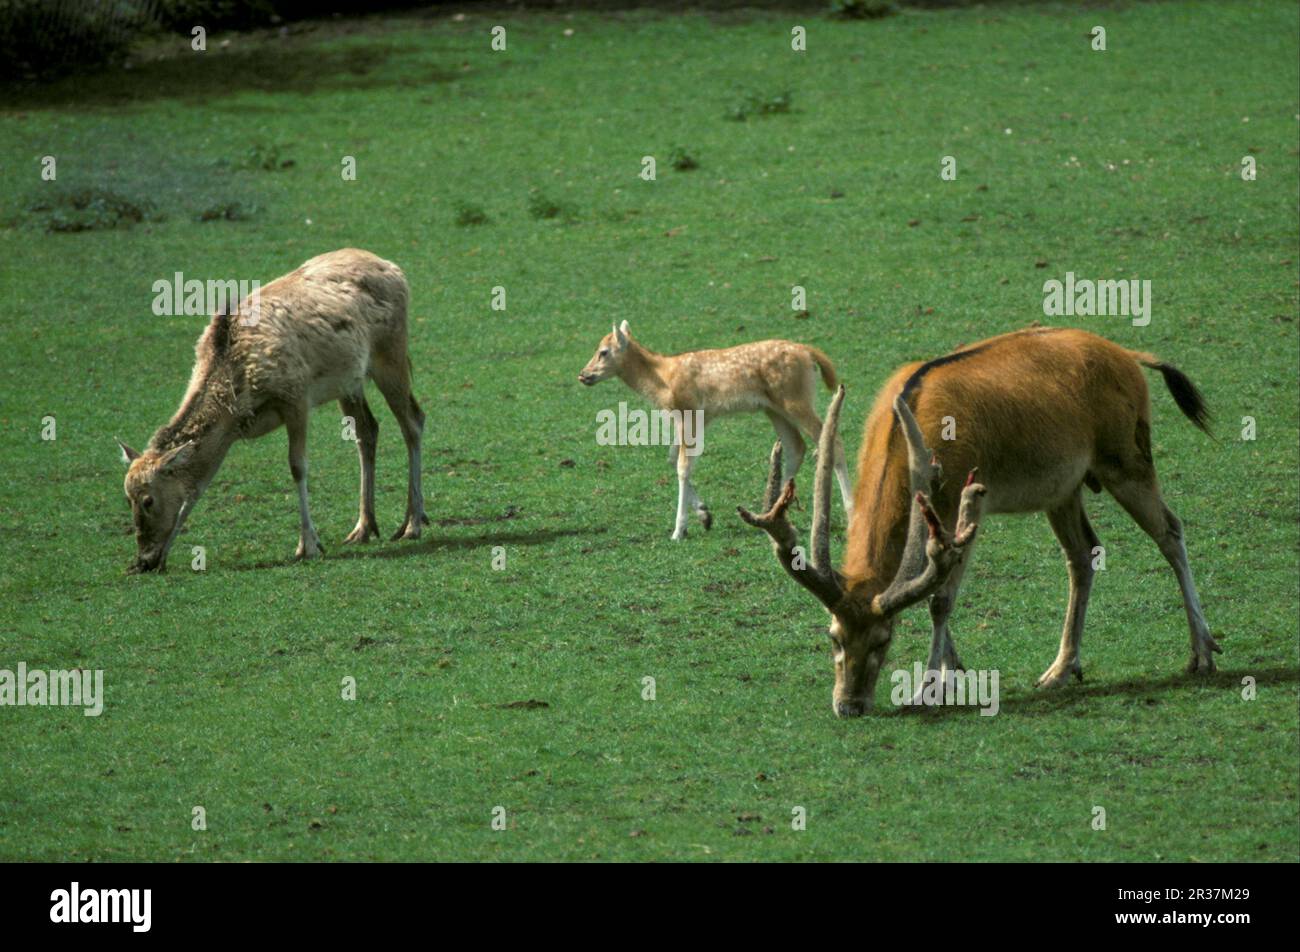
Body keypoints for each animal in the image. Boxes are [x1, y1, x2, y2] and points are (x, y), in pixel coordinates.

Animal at [117, 248, 428, 573]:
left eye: (148, 500)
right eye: (127, 499)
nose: (143, 560)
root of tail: (393, 268)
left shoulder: (296, 397)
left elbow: (297, 466)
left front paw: (308, 546)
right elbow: (197, 487)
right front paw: (164, 557)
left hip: (390, 354)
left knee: (413, 421)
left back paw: (413, 524)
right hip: (348, 382)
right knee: (368, 431)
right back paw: (363, 528)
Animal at [579, 320, 852, 540]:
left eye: (603, 352)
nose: (583, 375)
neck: (663, 382)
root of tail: (809, 353)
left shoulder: (689, 412)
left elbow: (682, 467)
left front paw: (679, 530)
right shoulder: (696, 419)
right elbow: (673, 459)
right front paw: (704, 515)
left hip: (795, 399)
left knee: (832, 441)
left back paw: (850, 512)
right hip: (774, 408)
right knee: (796, 446)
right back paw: (774, 514)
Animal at [737, 326, 1220, 718]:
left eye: (884, 639)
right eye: (833, 635)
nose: (850, 705)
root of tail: (1129, 355)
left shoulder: (960, 507)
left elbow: (939, 599)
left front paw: (928, 689)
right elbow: (931, 587)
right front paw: (955, 671)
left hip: (1127, 458)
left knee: (1170, 531)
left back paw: (1203, 655)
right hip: (1064, 488)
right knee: (1082, 555)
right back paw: (1061, 670)